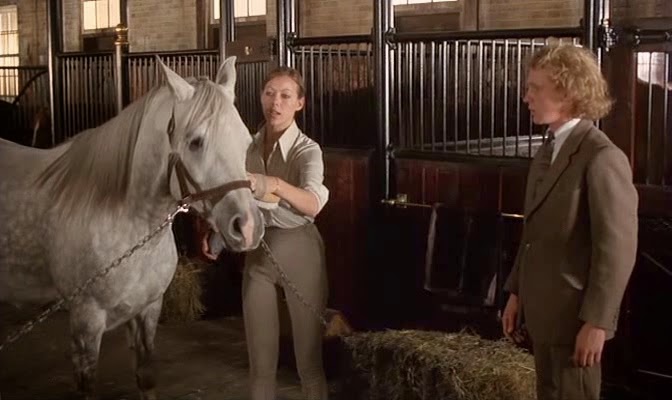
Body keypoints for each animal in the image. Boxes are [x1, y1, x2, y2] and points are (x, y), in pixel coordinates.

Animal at [0, 56, 264, 399]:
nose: (248, 227)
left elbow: (146, 376)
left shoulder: (148, 311)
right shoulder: (86, 321)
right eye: (195, 142)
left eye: (246, 141)